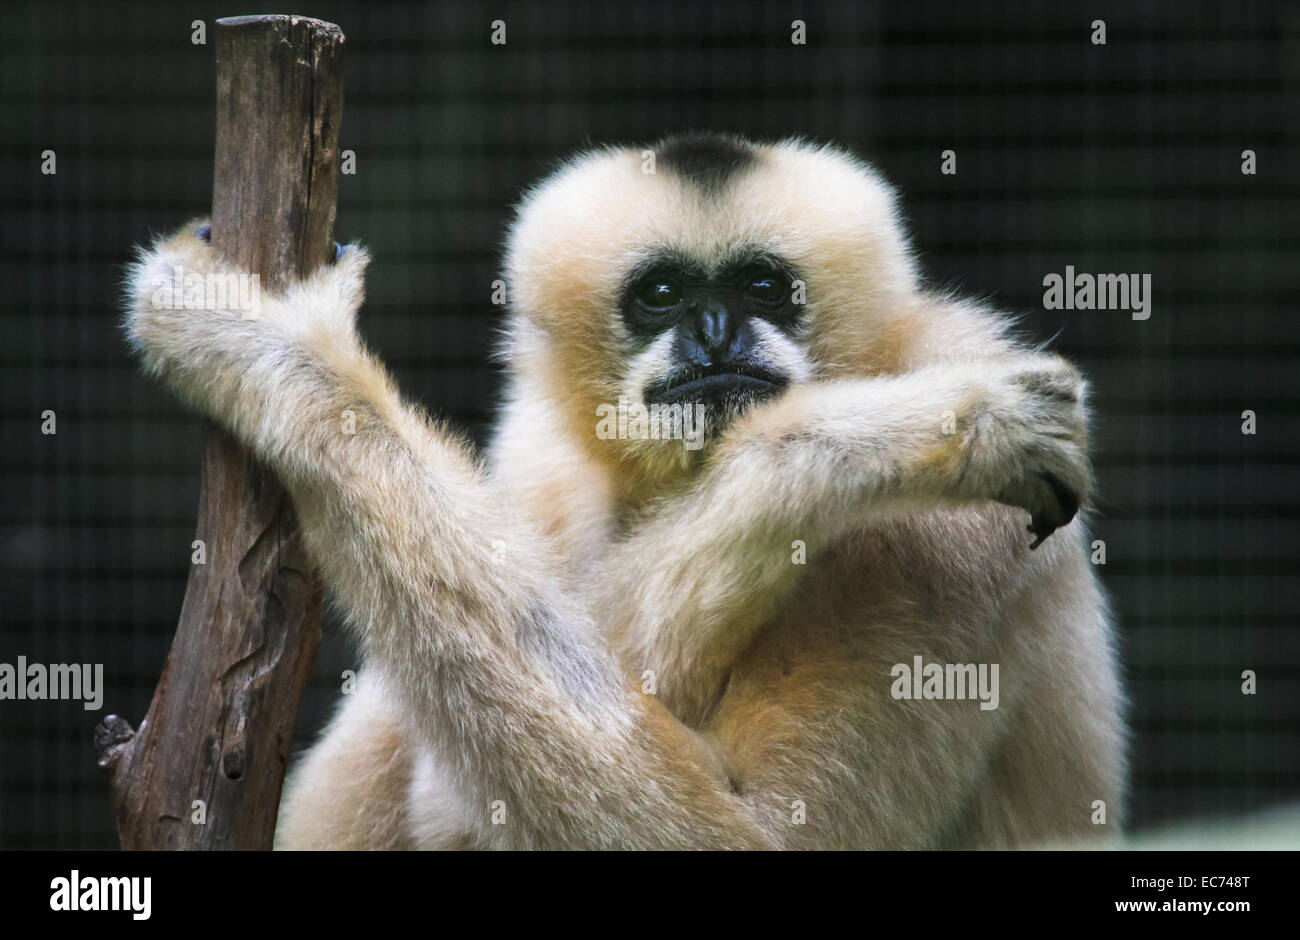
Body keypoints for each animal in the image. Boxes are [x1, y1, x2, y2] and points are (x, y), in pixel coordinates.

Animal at [123, 132, 1126, 850]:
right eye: (663, 293)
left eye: (763, 285)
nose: (717, 332)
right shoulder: (540, 456)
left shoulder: (954, 531)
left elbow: (754, 830)